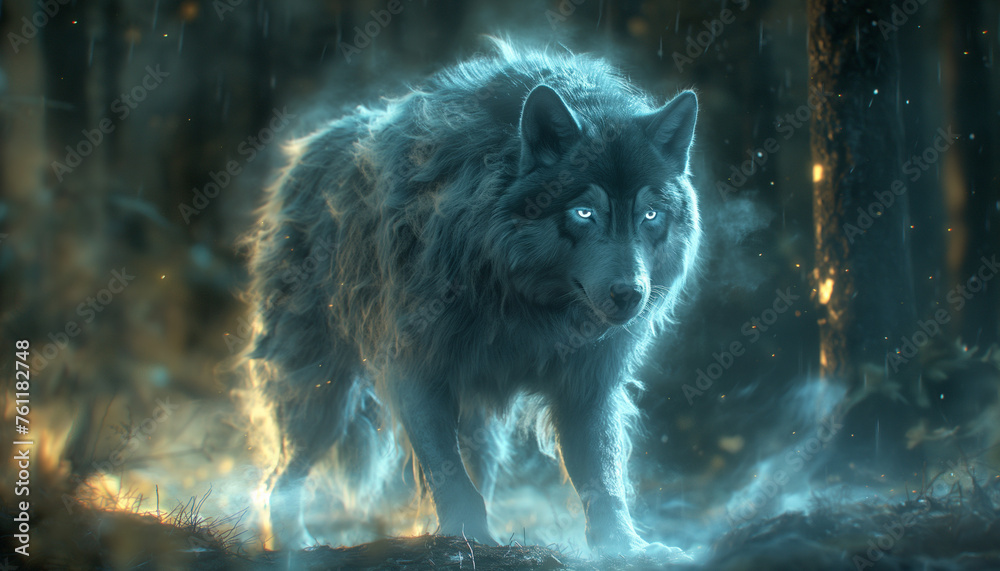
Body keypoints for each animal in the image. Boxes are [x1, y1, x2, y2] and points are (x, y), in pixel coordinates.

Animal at [240, 40, 700, 558]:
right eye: (584, 212)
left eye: (650, 214)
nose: (630, 294)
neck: (525, 301)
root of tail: (307, 149)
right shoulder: (415, 368)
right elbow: (450, 477)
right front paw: (470, 541)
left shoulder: (588, 384)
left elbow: (603, 478)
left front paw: (627, 549)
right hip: (323, 396)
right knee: (279, 480)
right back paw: (293, 546)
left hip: (474, 420)